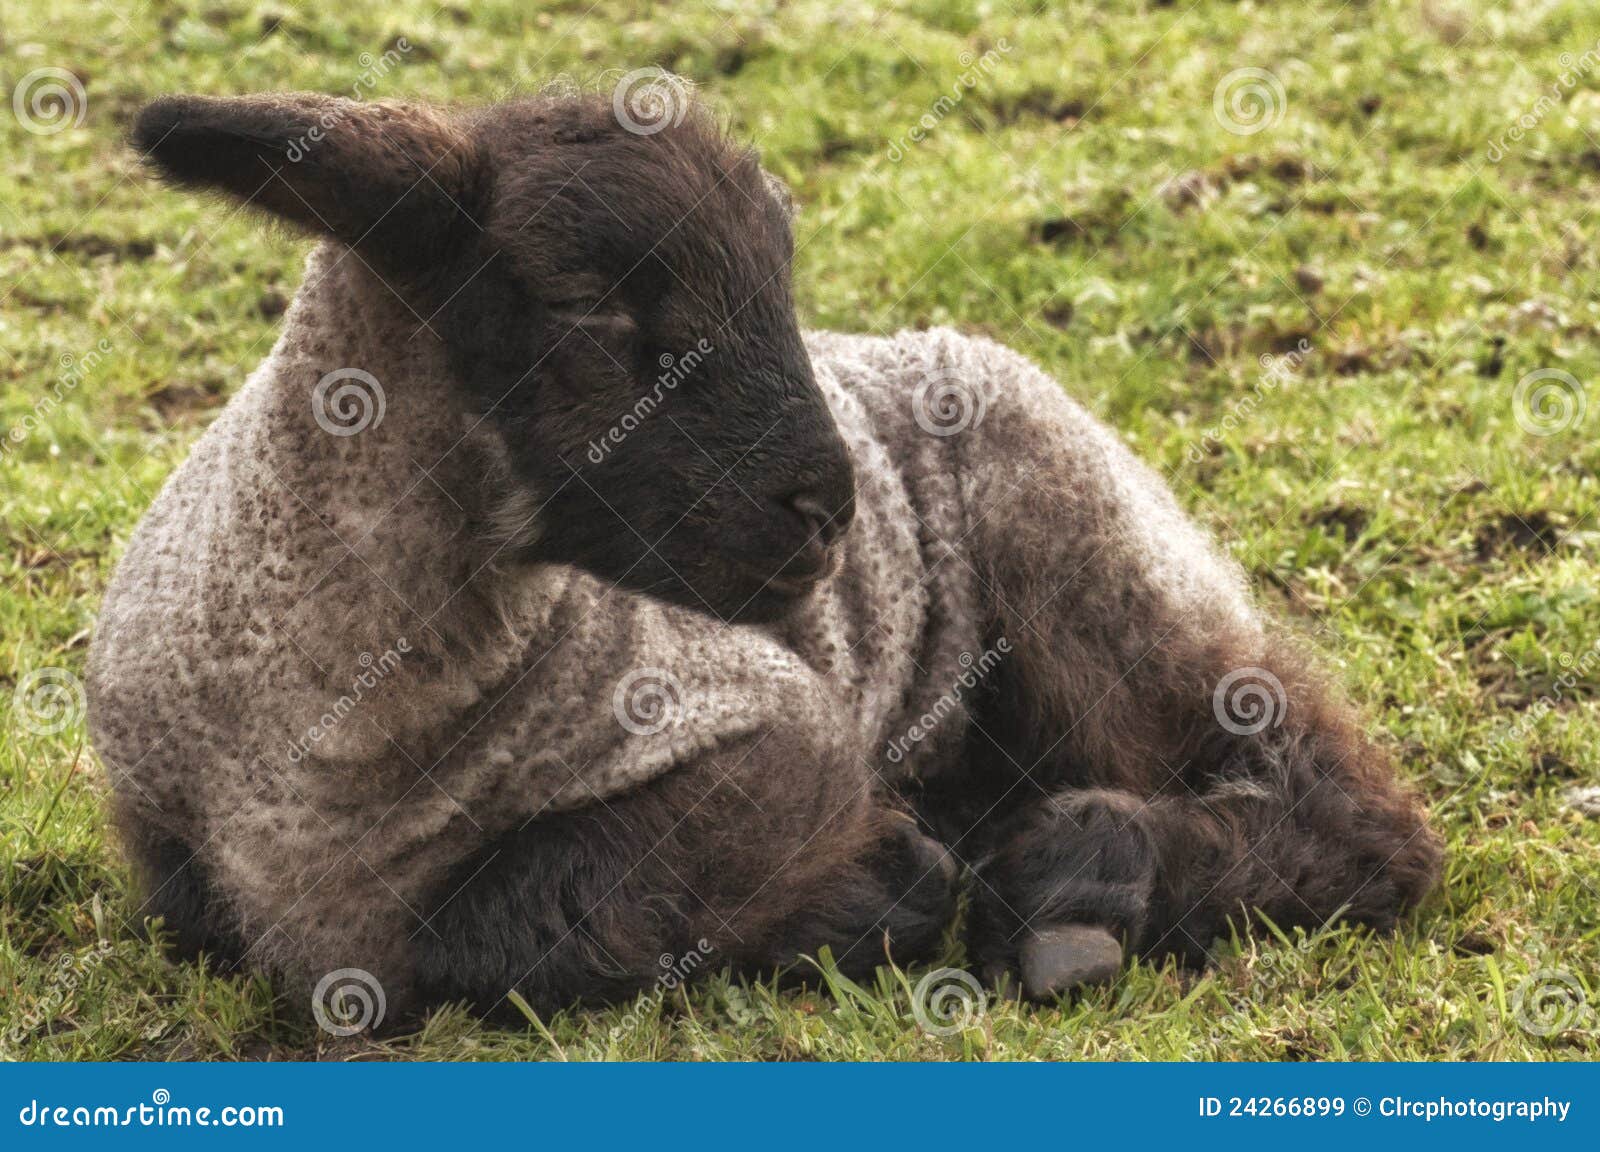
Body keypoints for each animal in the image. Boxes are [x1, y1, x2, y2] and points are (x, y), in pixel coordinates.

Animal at [87, 89, 1441, 1023]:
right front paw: (895, 873)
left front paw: (885, 882)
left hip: (1085, 547)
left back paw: (1079, 883)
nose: (828, 509)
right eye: (587, 308)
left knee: (1351, 810)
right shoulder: (165, 848)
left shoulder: (770, 729)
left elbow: (491, 926)